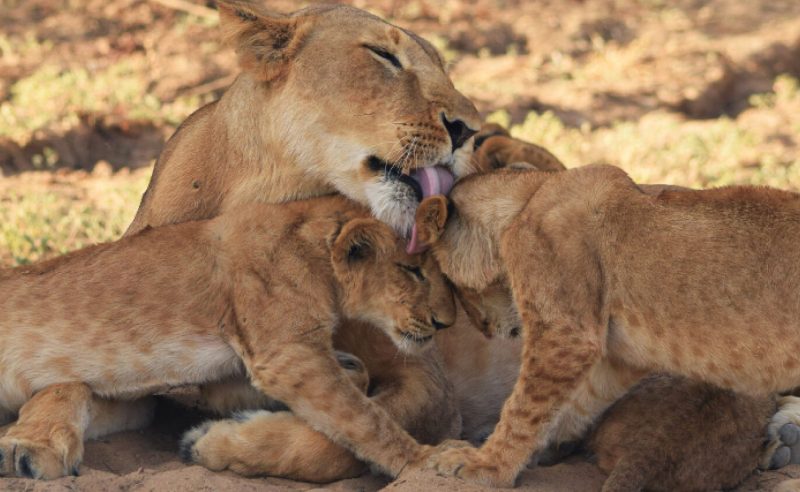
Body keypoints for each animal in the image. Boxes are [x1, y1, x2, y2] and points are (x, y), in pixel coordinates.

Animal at [0, 195, 456, 479]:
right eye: (412, 270)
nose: (446, 322)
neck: (310, 244)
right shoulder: (287, 356)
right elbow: (367, 420)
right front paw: (430, 460)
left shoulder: (246, 367)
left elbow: (357, 386)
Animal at [410, 165, 800, 487]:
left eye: (450, 282)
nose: (487, 331)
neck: (528, 198)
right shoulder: (622, 356)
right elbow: (574, 405)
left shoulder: (566, 334)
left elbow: (523, 409)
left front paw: (486, 465)